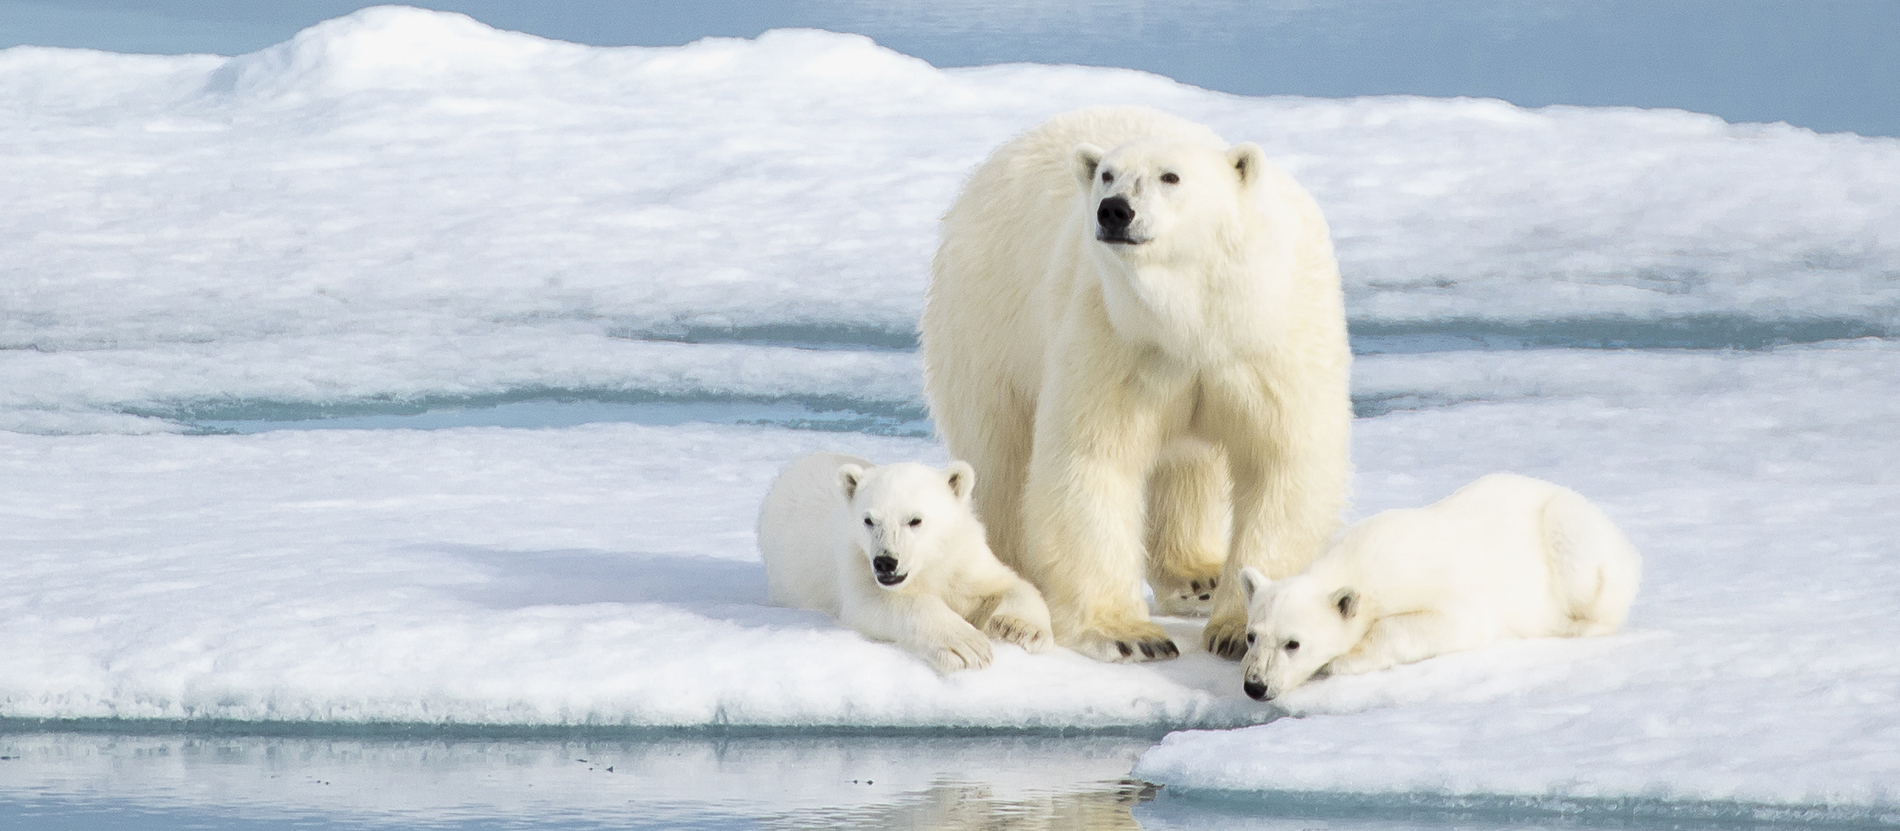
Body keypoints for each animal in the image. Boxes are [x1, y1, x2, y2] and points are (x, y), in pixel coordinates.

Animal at [757, 451, 1054, 673]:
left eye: (915, 520)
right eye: (869, 520)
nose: (885, 562)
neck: (927, 567)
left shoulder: (963, 559)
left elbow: (1009, 584)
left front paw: (1018, 628)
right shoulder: (857, 562)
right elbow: (879, 603)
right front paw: (966, 646)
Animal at [920, 106, 1352, 663]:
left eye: (1171, 176)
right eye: (1107, 174)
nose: (1114, 211)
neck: (1196, 318)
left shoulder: (1270, 343)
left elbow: (1279, 462)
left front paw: (1238, 630)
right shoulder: (1114, 334)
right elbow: (1092, 460)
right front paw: (1128, 635)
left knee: (1189, 465)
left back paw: (1197, 576)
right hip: (987, 318)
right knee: (1003, 455)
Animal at [1236, 473, 1643, 701]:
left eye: (1293, 643)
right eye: (1251, 636)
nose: (1255, 686)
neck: (1359, 558)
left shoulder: (1427, 582)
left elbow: (1451, 622)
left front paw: (1345, 659)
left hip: (1569, 531)